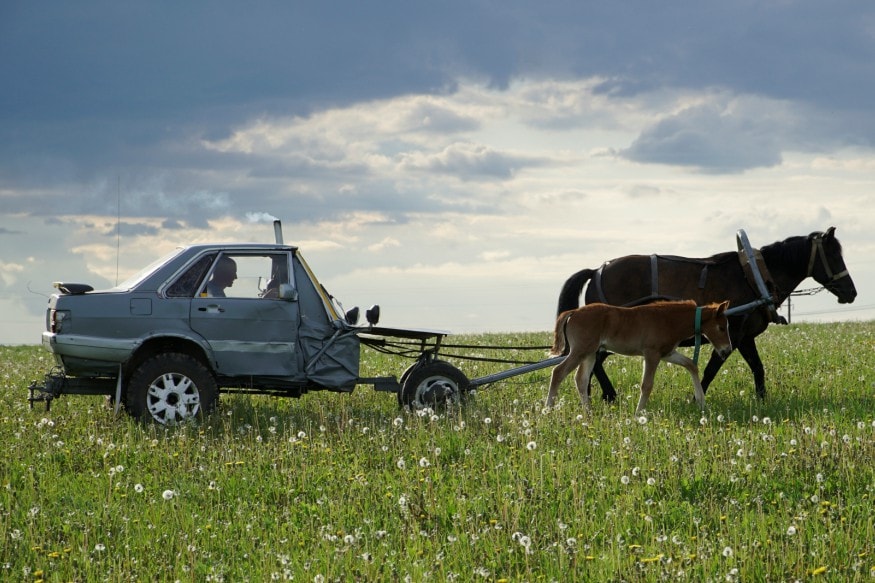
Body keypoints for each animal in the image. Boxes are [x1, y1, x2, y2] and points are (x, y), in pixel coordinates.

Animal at [546, 300, 732, 414]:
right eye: (722, 328)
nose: (727, 350)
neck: (668, 320)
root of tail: (574, 312)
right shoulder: (651, 353)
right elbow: (647, 385)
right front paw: (638, 414)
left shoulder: (667, 353)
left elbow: (691, 365)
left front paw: (701, 402)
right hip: (580, 350)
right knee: (558, 372)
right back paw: (548, 410)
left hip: (590, 353)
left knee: (581, 379)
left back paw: (588, 412)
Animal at [556, 227, 857, 402]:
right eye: (834, 255)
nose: (851, 292)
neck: (753, 276)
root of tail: (596, 270)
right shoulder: (730, 335)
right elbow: (711, 369)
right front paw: (696, 397)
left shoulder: (744, 338)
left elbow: (758, 368)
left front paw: (762, 400)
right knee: (594, 362)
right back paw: (606, 394)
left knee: (593, 362)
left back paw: (597, 394)